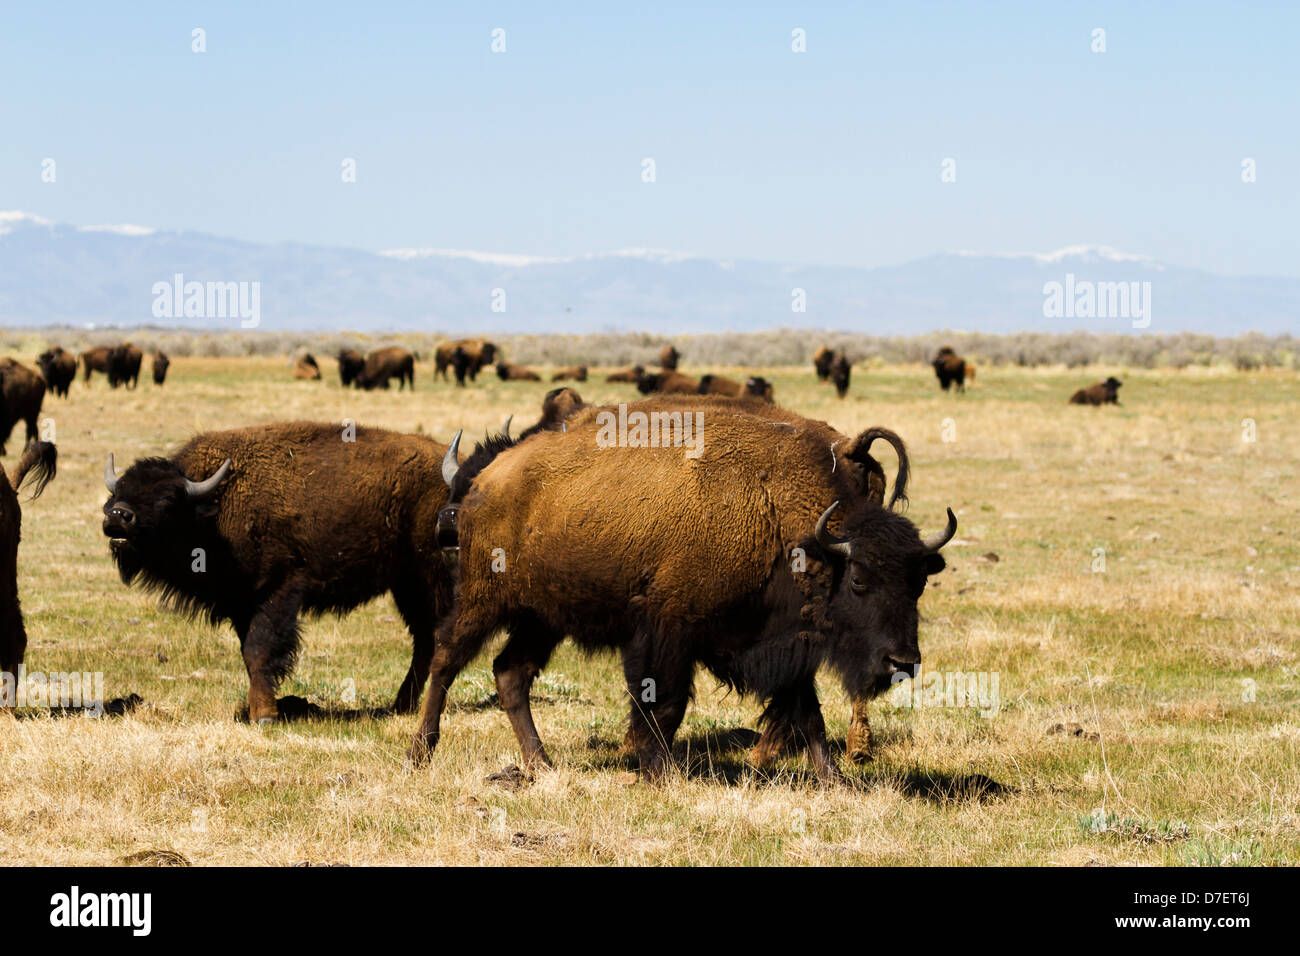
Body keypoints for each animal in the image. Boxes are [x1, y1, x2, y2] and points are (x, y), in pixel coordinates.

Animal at [101, 422, 456, 723]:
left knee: (434, 638)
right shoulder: (241, 604)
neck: (215, 508)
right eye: (117, 492)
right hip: (406, 585)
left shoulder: (278, 592)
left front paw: (265, 716)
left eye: (169, 498)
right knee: (424, 640)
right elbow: (249, 654)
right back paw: (400, 706)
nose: (118, 515)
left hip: (431, 577)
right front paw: (261, 709)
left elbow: (259, 651)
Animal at [414, 396, 949, 783]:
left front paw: (833, 779)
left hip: (542, 618)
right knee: (446, 658)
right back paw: (421, 751)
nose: (902, 662)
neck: (778, 518)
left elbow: (807, 712)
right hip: (484, 601)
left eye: (919, 583)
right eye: (859, 579)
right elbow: (664, 704)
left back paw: (541, 764)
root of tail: (487, 482)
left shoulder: (784, 640)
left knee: (510, 673)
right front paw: (658, 772)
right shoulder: (668, 632)